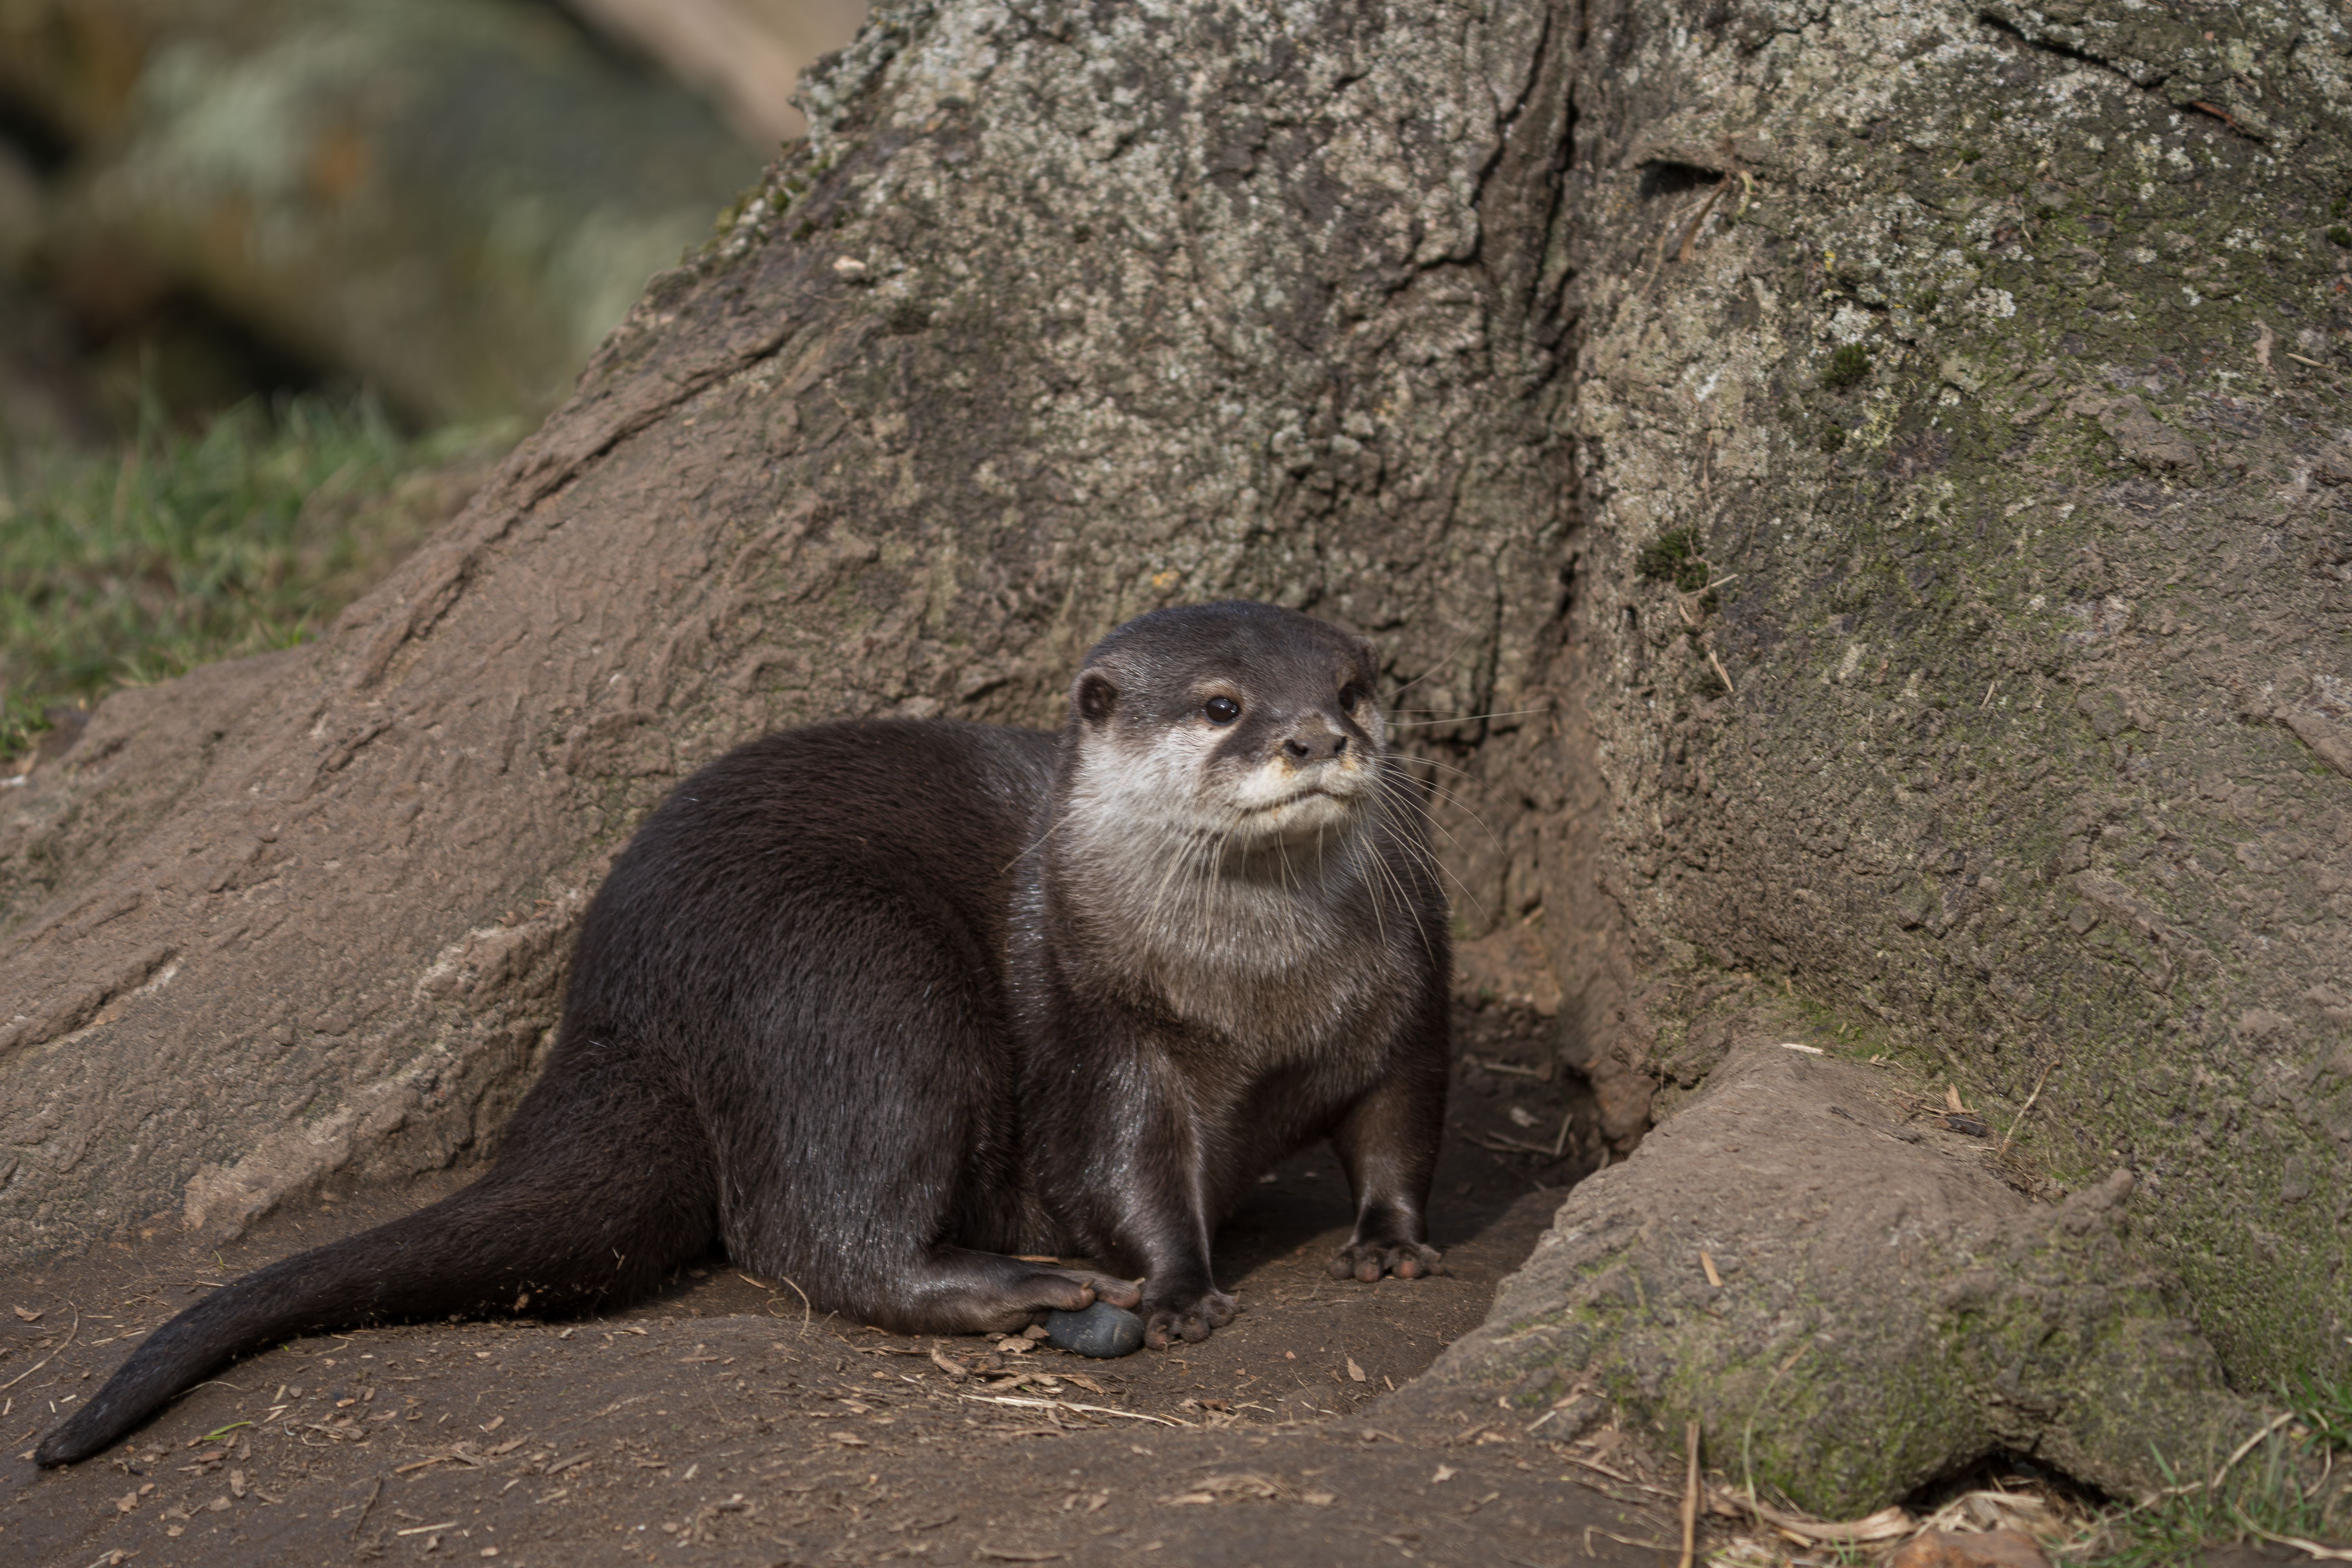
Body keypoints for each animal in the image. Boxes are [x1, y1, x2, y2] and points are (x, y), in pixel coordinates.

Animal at [37, 600, 1450, 1466]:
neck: (1253, 1000)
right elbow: (1120, 1168)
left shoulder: (1405, 990)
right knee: (814, 1225)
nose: (1316, 735)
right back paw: (1015, 1288)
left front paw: (1391, 1241)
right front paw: (1183, 1286)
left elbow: (1398, 1120)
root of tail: (616, 1010)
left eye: (1354, 685)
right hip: (848, 974)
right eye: (1221, 706)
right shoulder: (1102, 1022)